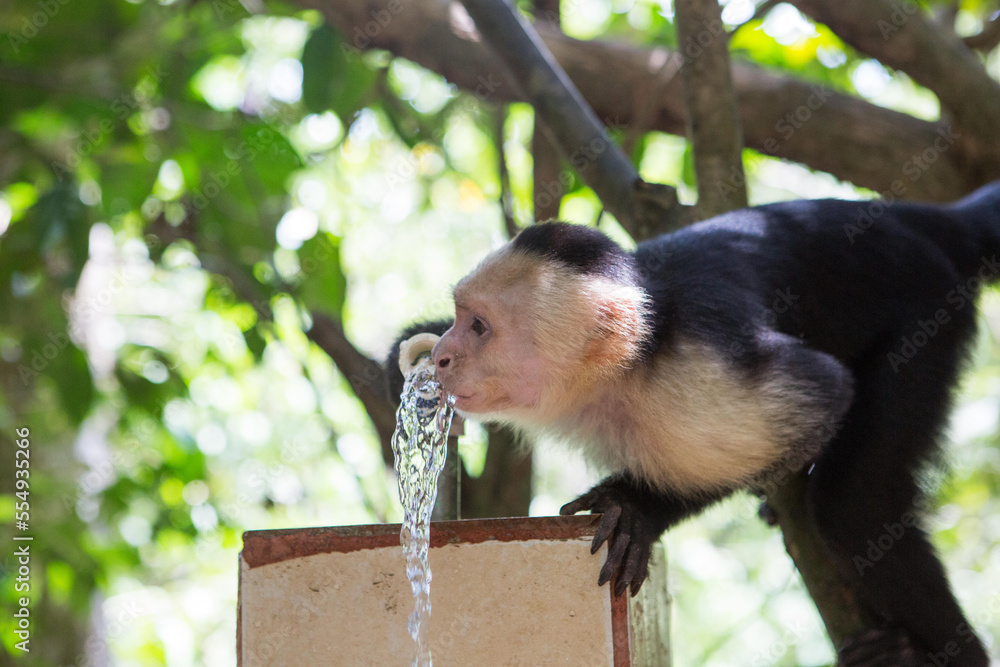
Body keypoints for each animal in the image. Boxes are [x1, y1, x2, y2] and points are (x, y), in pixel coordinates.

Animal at [389, 181, 1000, 666]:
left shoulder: (698, 377)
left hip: (927, 312)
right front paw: (412, 356)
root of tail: (914, 220)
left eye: (481, 327)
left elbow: (826, 392)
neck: (624, 367)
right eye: (460, 316)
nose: (443, 357)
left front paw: (638, 507)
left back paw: (949, 652)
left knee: (854, 504)